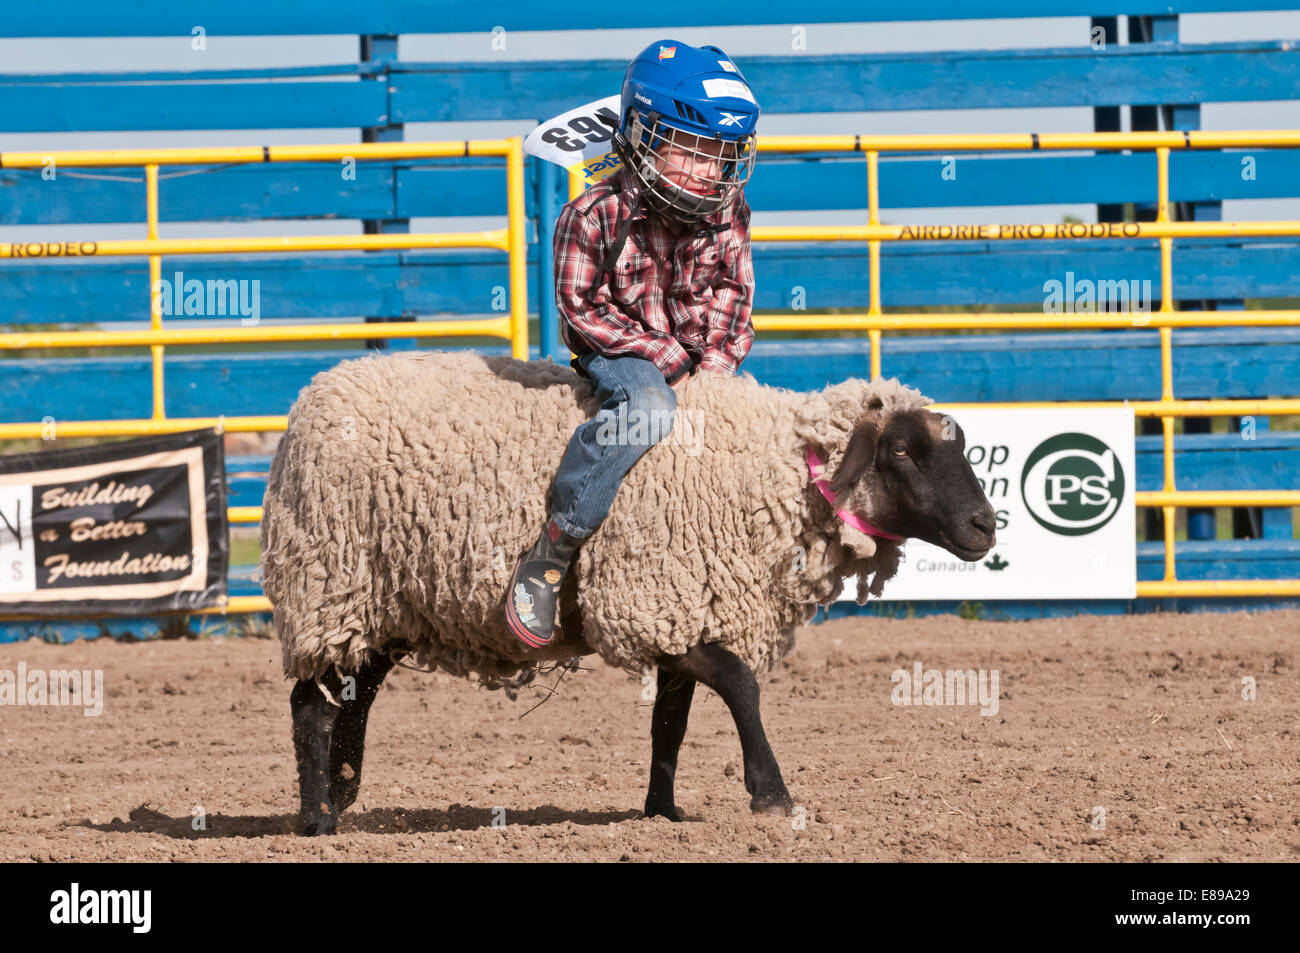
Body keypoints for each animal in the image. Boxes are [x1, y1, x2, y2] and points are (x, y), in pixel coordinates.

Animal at [259, 349, 995, 834]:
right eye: (900, 450)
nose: (985, 525)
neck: (773, 473)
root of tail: (308, 400)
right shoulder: (643, 601)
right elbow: (740, 685)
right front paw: (772, 797)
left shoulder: (682, 611)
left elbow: (673, 717)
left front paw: (661, 811)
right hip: (329, 582)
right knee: (310, 705)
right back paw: (318, 819)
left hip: (379, 606)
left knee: (353, 698)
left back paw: (342, 790)